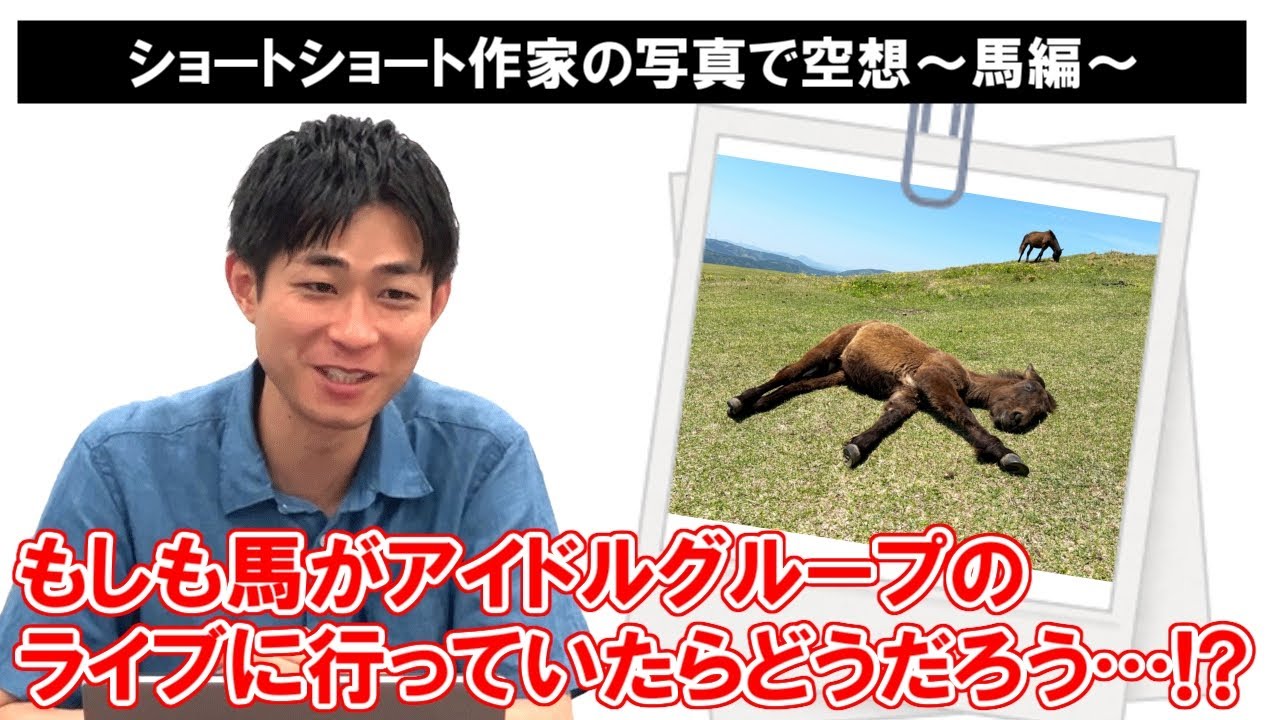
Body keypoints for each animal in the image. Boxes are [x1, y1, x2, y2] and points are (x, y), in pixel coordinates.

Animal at [725, 321, 1057, 475]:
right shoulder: (933, 381)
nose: (1016, 420)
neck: (964, 377)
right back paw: (741, 402)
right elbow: (964, 415)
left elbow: (889, 419)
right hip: (828, 347)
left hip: (841, 374)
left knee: (798, 384)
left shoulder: (908, 395)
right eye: (1029, 389)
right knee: (788, 372)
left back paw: (763, 404)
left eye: (1041, 412)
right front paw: (1006, 455)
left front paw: (856, 446)